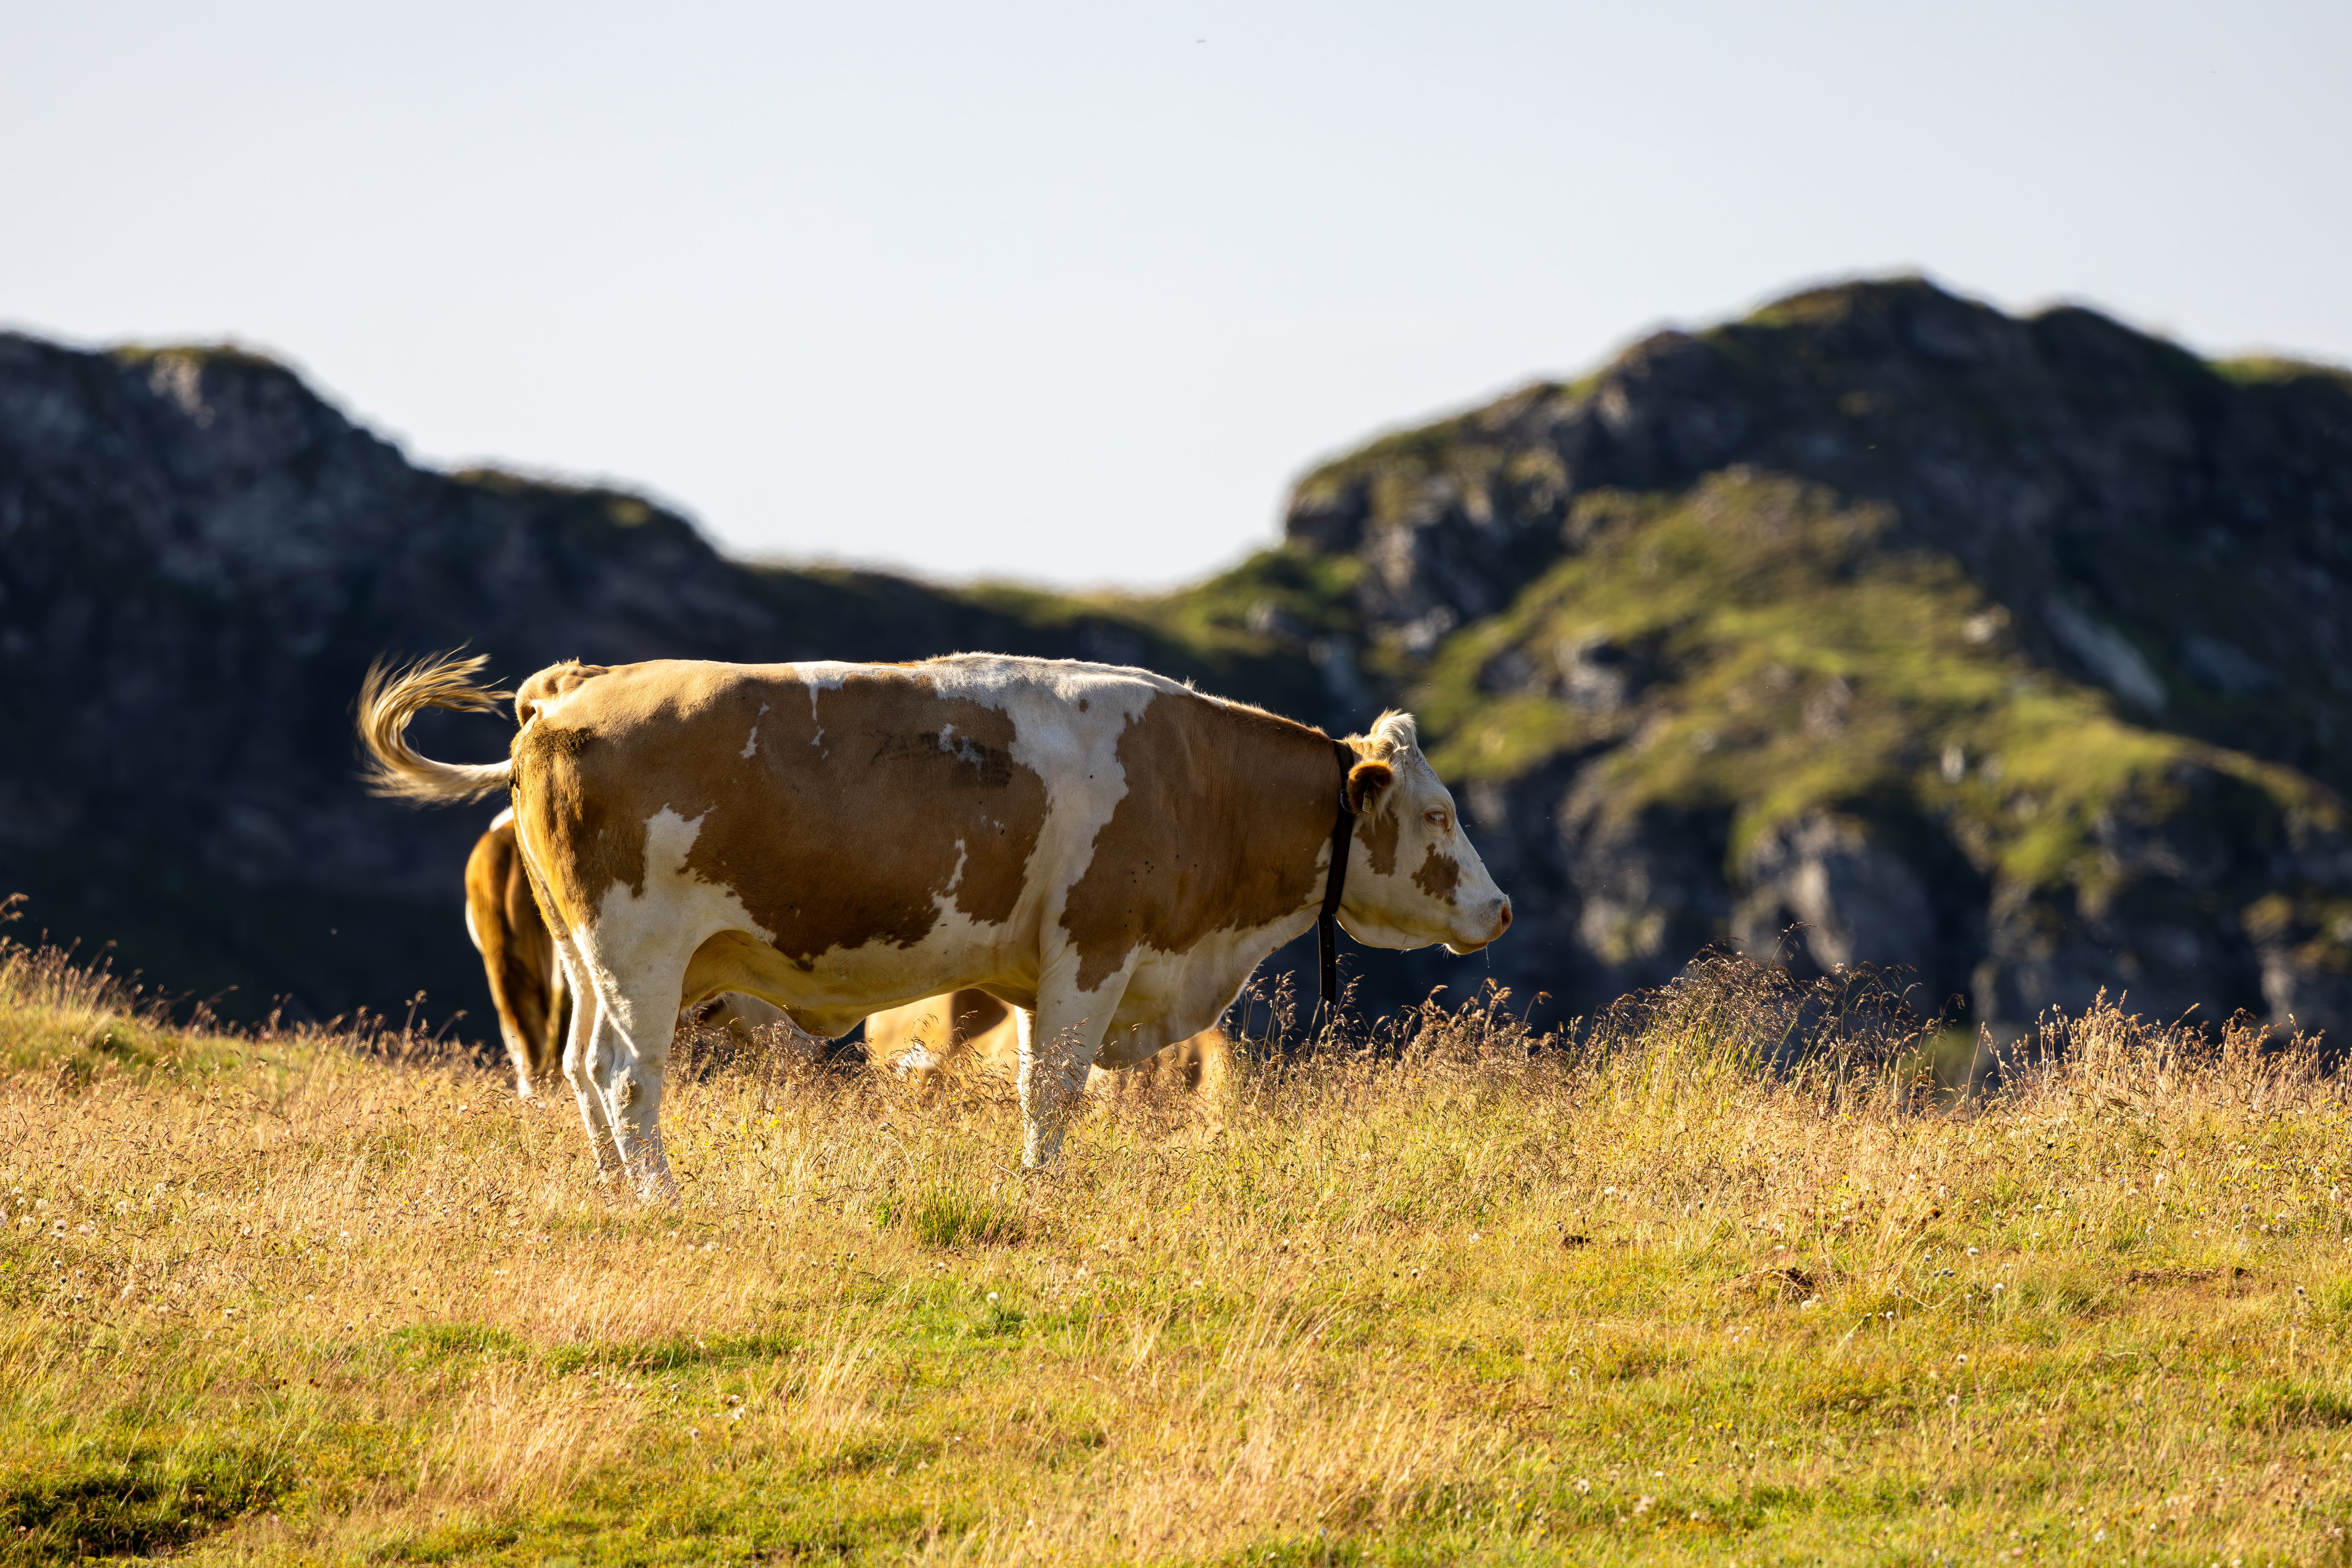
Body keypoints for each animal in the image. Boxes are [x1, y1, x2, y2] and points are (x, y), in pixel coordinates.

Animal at [360, 652, 1511, 1199]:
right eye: (1439, 813)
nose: (1498, 908)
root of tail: (568, 696)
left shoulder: (1040, 972)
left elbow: (1037, 1083)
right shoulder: (1092, 949)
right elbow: (1057, 1086)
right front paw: (1042, 1188)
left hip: (588, 956)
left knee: (578, 1070)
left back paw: (611, 1189)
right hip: (637, 950)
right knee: (624, 1076)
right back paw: (660, 1197)